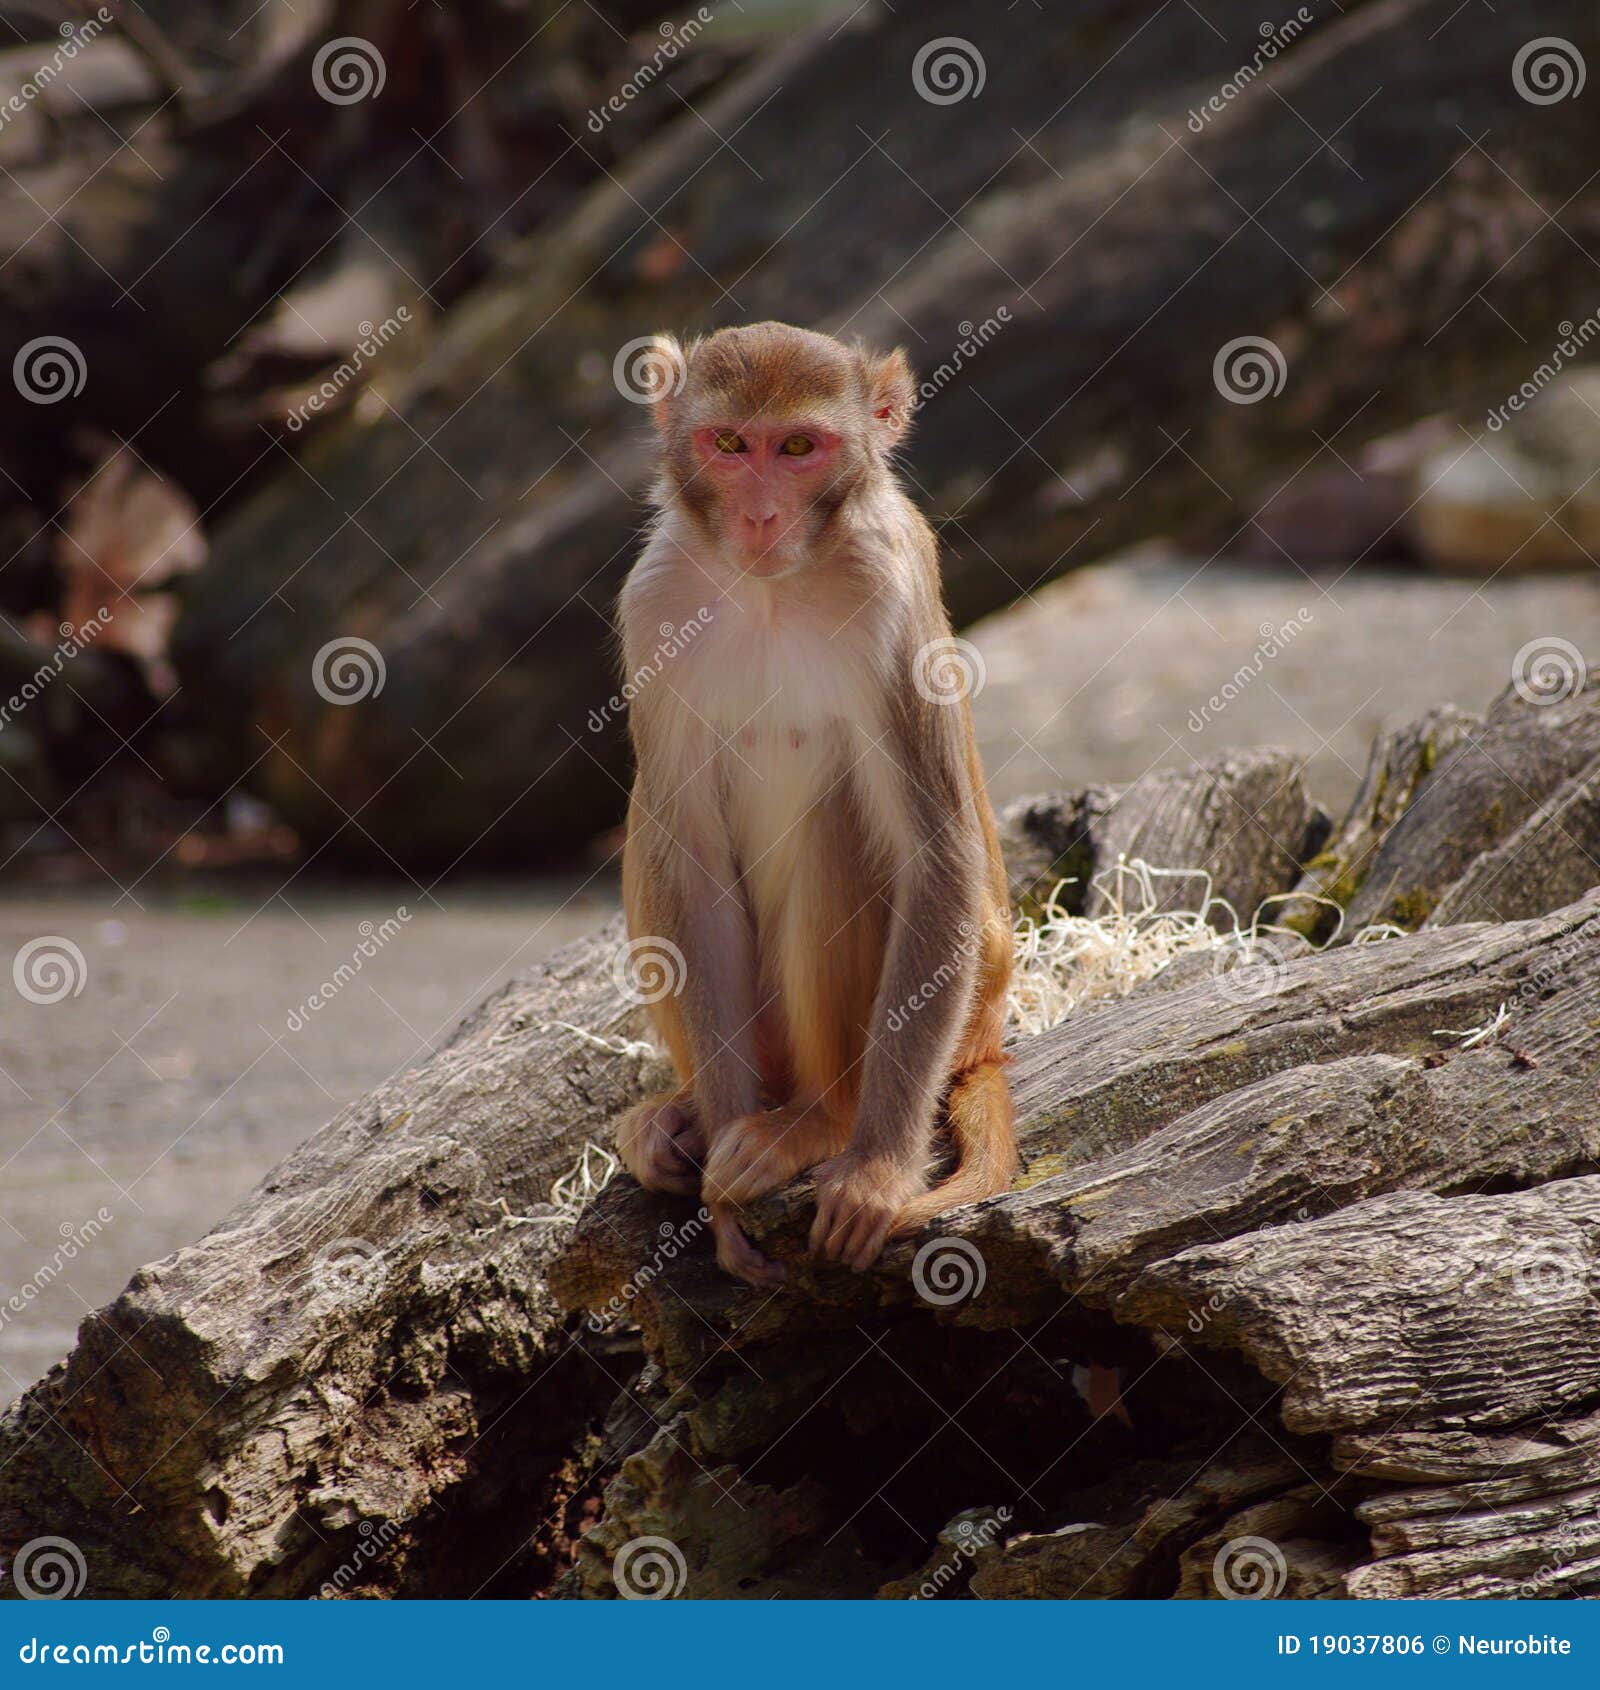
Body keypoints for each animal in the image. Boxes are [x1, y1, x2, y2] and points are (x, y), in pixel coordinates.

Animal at [611, 321, 1016, 1287]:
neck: (772, 588)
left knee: (846, 823)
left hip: (966, 997)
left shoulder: (889, 597)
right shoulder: (653, 600)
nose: (761, 517)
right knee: (653, 823)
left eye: (798, 449)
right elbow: (686, 852)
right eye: (731, 445)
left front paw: (876, 1170)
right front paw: (717, 1198)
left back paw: (824, 1123)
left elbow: (936, 854)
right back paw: (689, 1114)